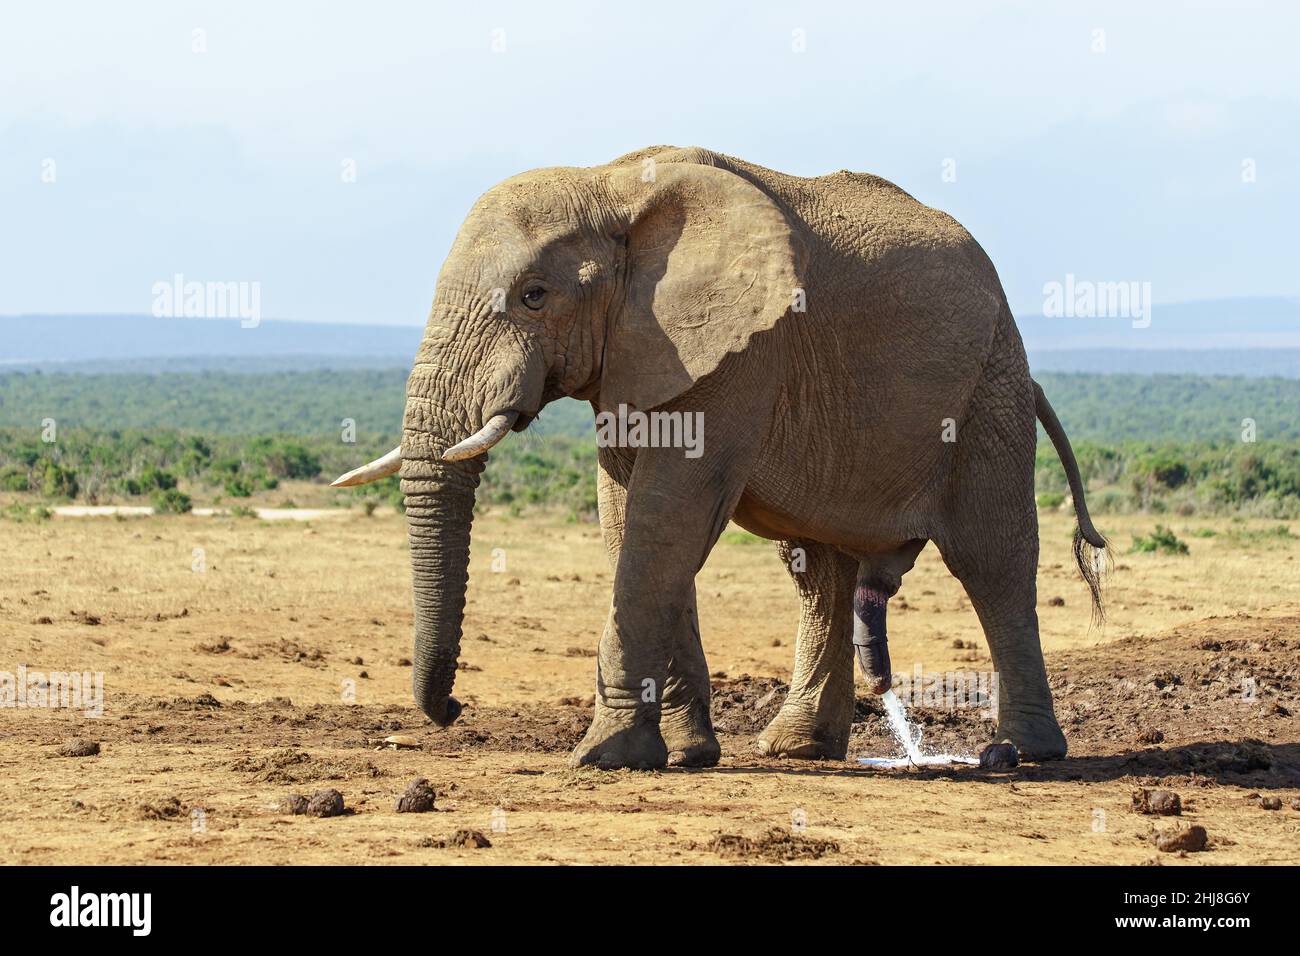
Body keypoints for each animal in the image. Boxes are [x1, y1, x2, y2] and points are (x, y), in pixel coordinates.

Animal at [332, 145, 1107, 770]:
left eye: (533, 296)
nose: (454, 710)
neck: (611, 183)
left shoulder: (740, 353)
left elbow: (667, 518)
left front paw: (602, 757)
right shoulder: (641, 354)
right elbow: (631, 523)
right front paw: (685, 755)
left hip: (990, 388)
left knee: (992, 556)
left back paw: (1023, 753)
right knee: (819, 571)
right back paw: (796, 748)